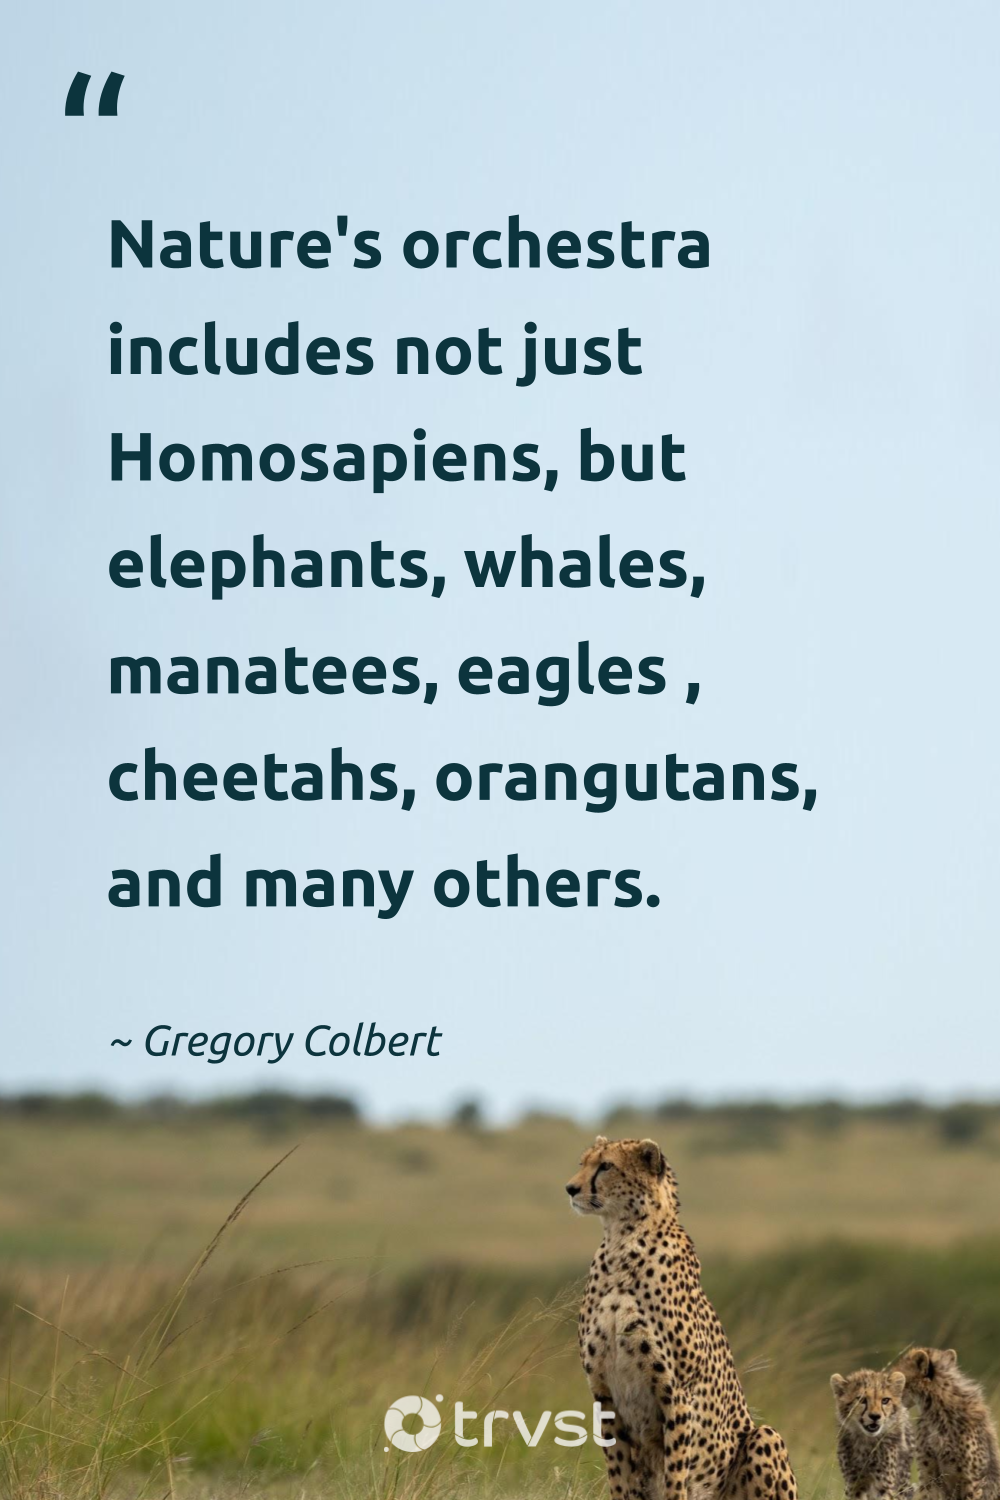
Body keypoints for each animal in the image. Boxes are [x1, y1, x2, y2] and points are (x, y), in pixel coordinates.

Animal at [566, 1134, 798, 1500]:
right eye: (583, 1163)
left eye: (606, 1166)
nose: (571, 1188)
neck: (622, 1242)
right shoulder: (603, 1392)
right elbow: (618, 1474)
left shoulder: (676, 1391)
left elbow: (676, 1473)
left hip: (765, 1436)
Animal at [830, 1368, 914, 1500]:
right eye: (862, 1400)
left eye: (885, 1400)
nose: (875, 1416)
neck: (867, 1441)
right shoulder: (854, 1483)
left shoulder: (884, 1484)